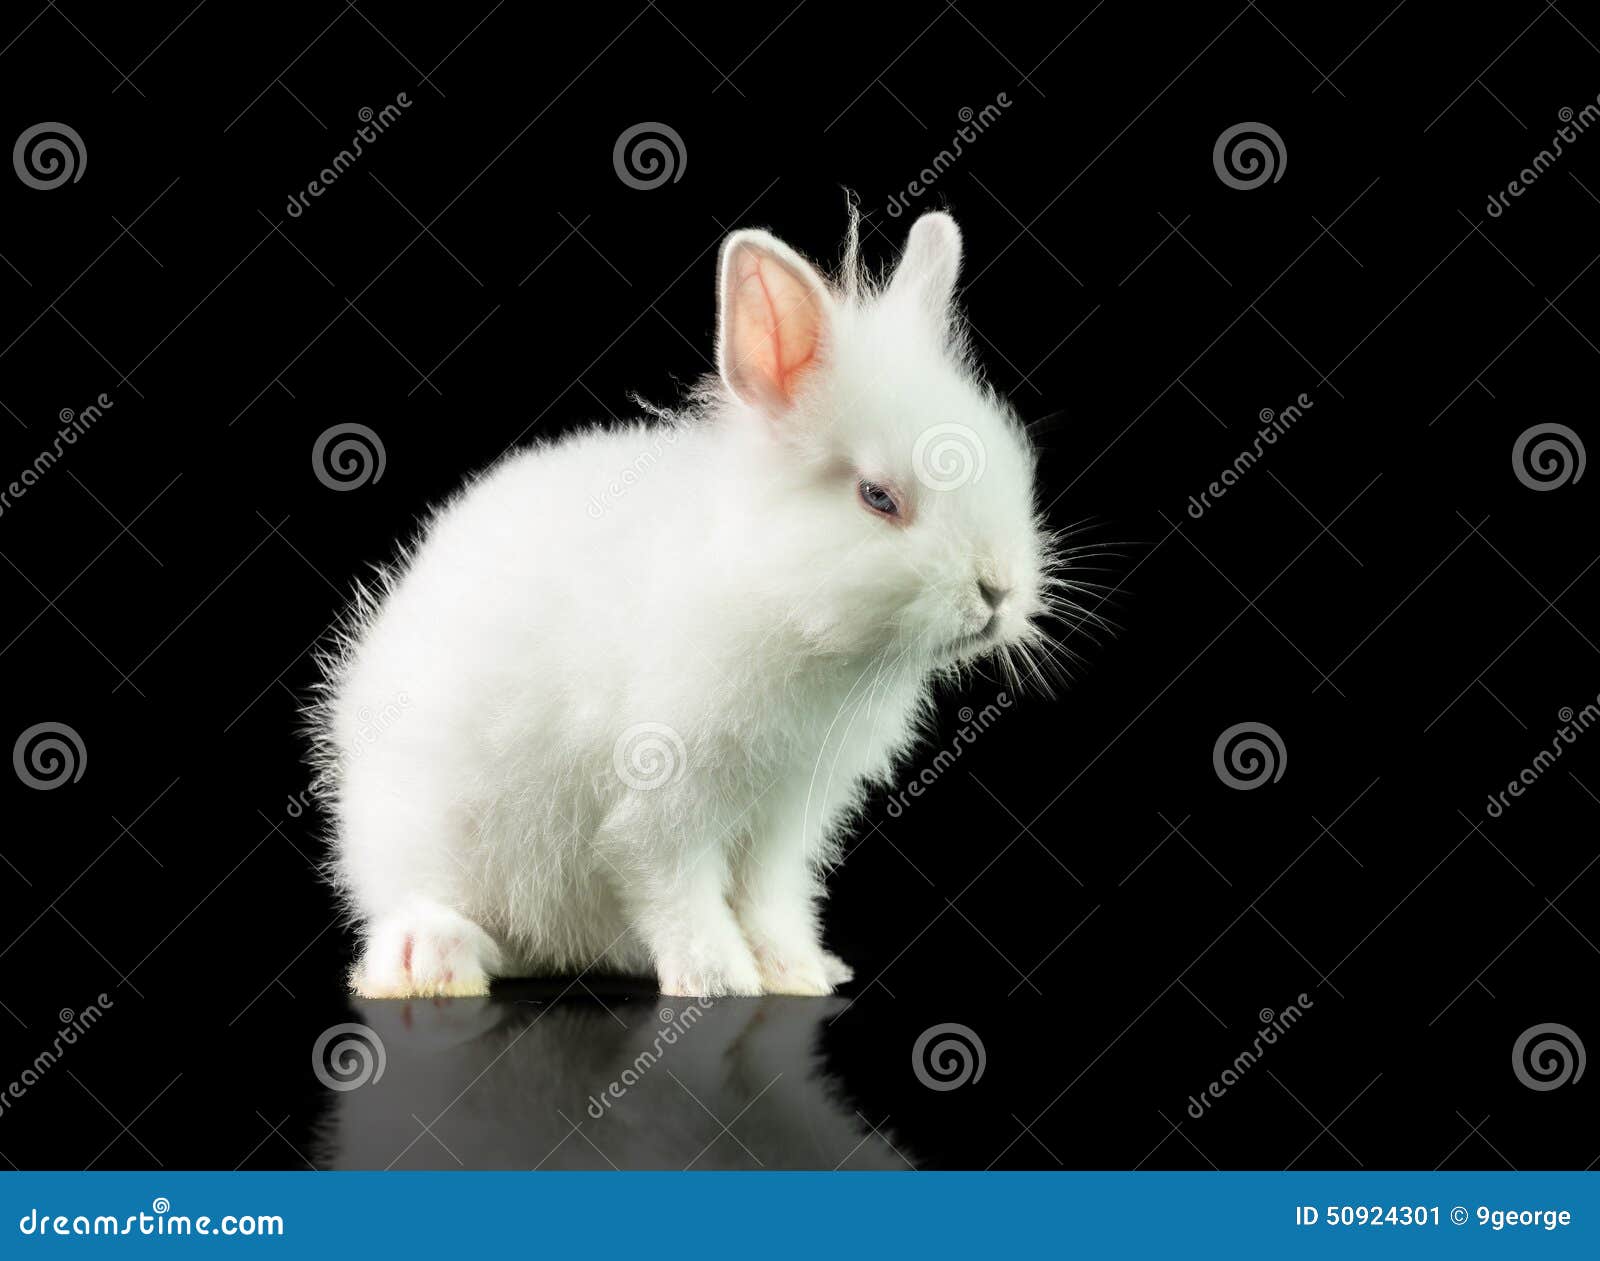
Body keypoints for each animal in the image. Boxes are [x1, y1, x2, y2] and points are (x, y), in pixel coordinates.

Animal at [311, 208, 1065, 999]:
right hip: (425, 834)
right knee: (428, 908)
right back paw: (430, 959)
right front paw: (720, 978)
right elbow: (675, 889)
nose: (998, 590)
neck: (773, 597)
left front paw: (795, 970)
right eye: (878, 497)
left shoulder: (783, 817)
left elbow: (766, 898)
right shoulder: (663, 803)